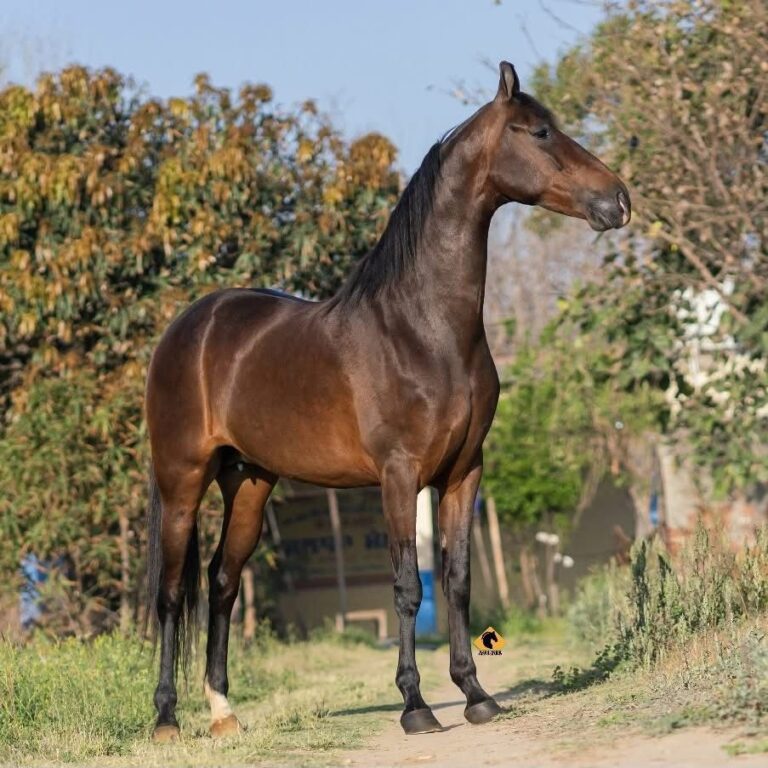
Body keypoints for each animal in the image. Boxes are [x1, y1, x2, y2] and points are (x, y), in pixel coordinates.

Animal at [145, 61, 630, 742]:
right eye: (539, 132)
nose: (618, 200)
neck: (424, 328)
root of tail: (189, 325)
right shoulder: (399, 477)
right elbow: (407, 587)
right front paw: (415, 705)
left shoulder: (463, 473)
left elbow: (457, 582)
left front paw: (475, 694)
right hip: (182, 480)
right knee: (169, 593)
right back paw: (166, 717)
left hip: (249, 482)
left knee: (222, 582)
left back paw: (223, 712)